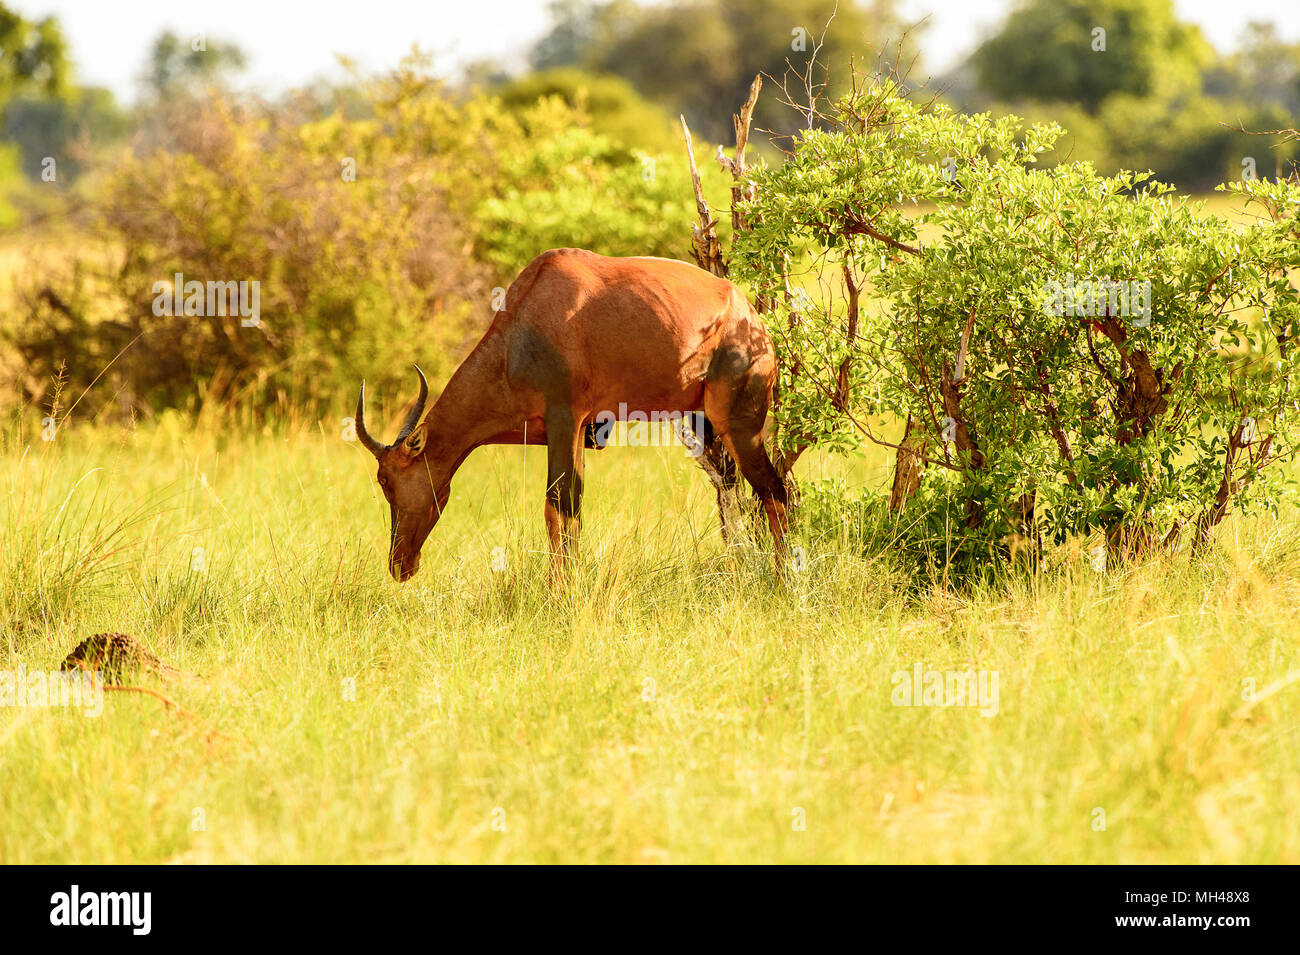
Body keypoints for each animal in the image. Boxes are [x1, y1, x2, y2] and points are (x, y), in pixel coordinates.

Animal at [355, 248, 789, 581]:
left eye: (386, 480)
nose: (400, 565)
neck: (524, 319)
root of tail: (754, 318)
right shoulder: (581, 429)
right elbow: (574, 511)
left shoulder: (563, 419)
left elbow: (555, 507)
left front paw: (558, 595)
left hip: (739, 424)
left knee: (774, 489)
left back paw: (785, 583)